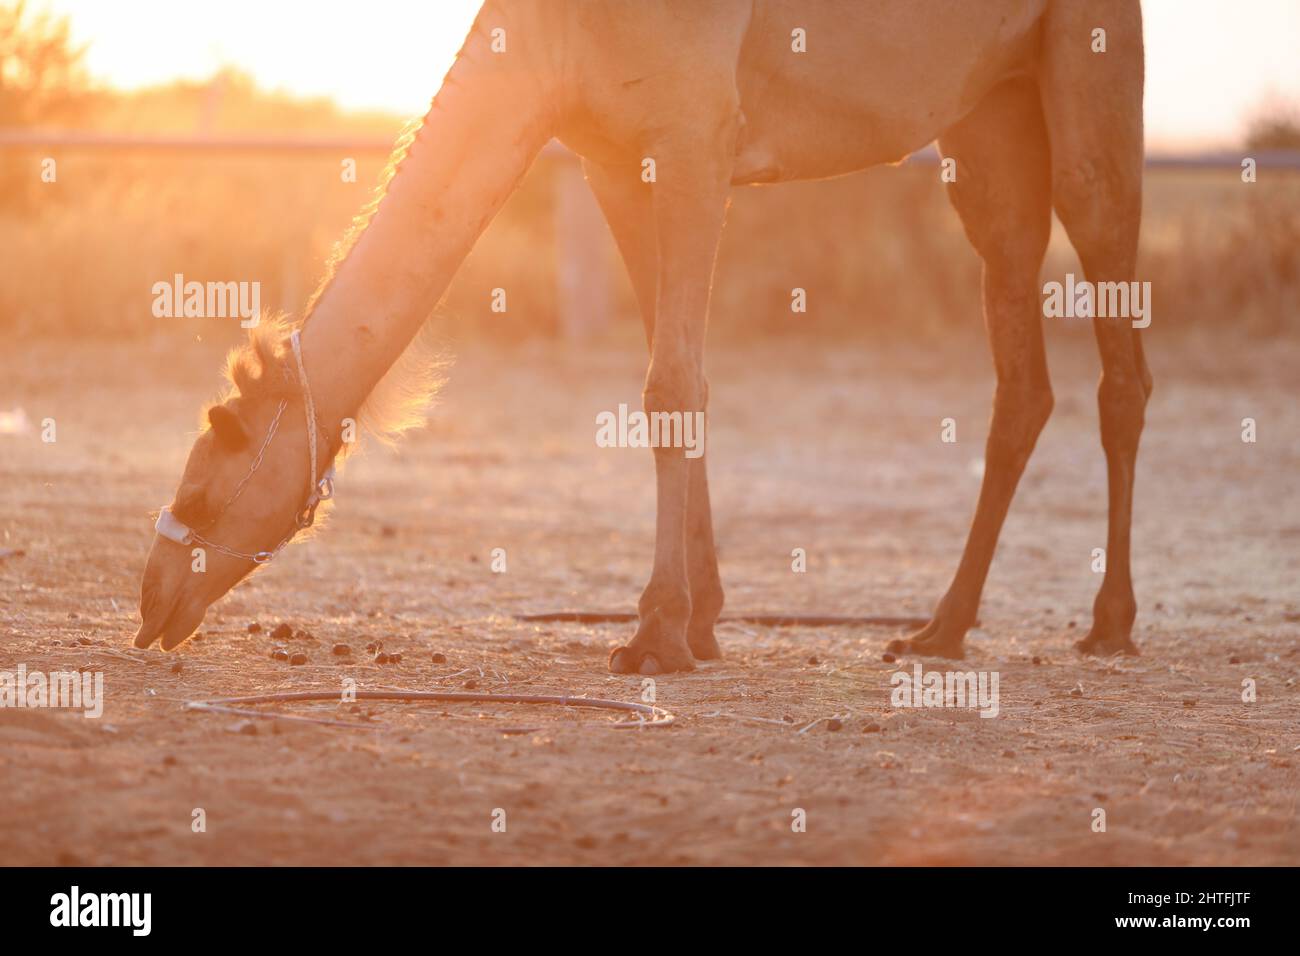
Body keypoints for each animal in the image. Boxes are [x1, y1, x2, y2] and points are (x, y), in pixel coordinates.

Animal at [134, 0, 1151, 675]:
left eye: (207, 480)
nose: (149, 602)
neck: (560, 33)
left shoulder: (698, 141)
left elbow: (672, 385)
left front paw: (658, 635)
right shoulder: (618, 164)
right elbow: (674, 377)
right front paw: (701, 622)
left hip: (1092, 70)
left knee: (1118, 348)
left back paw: (1109, 621)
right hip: (989, 118)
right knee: (1021, 371)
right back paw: (941, 628)